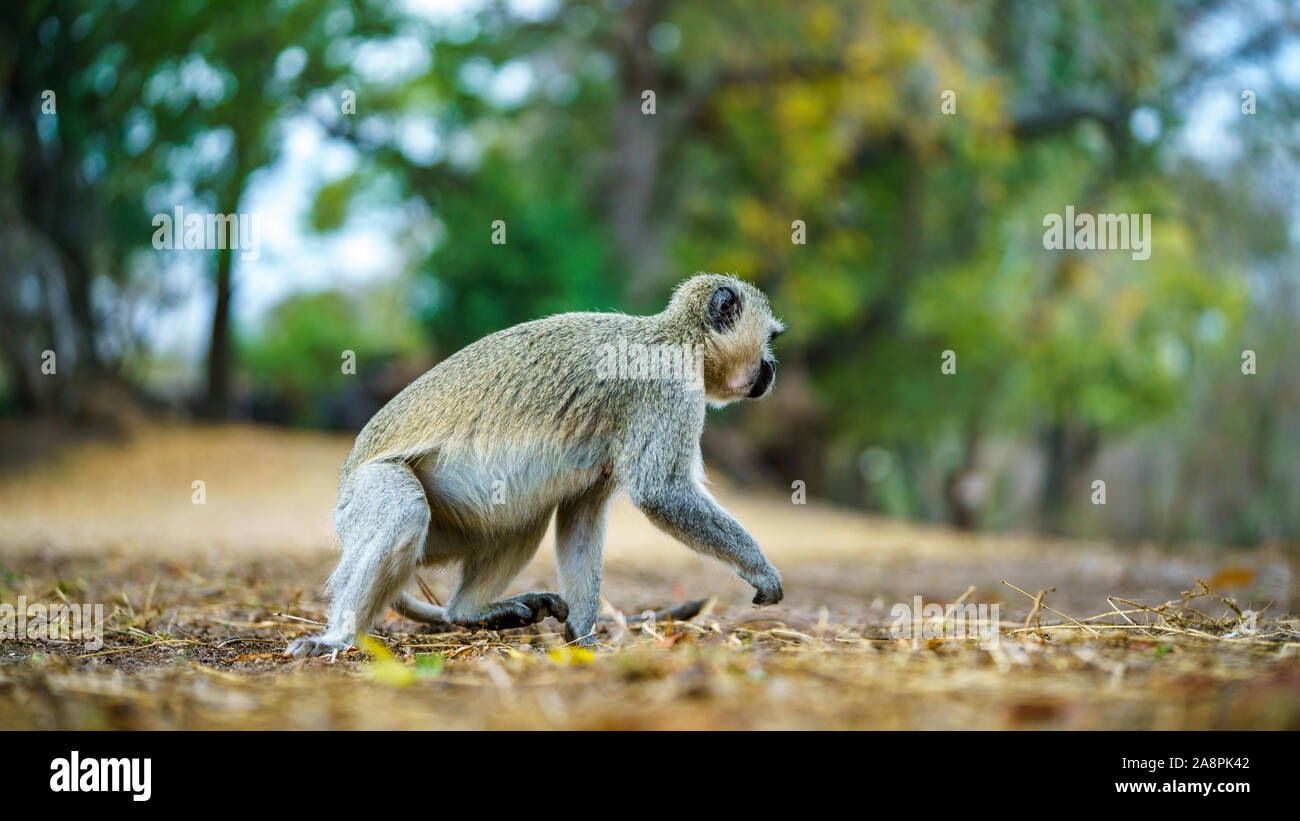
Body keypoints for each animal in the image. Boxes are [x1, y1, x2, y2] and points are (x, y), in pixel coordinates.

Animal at [286, 272, 785, 658]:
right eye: (771, 338)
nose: (773, 368)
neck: (681, 338)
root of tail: (343, 493)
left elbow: (580, 518)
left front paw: (583, 639)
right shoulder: (666, 391)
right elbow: (662, 493)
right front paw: (759, 567)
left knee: (524, 516)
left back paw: (470, 612)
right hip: (363, 501)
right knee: (405, 509)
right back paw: (338, 636)